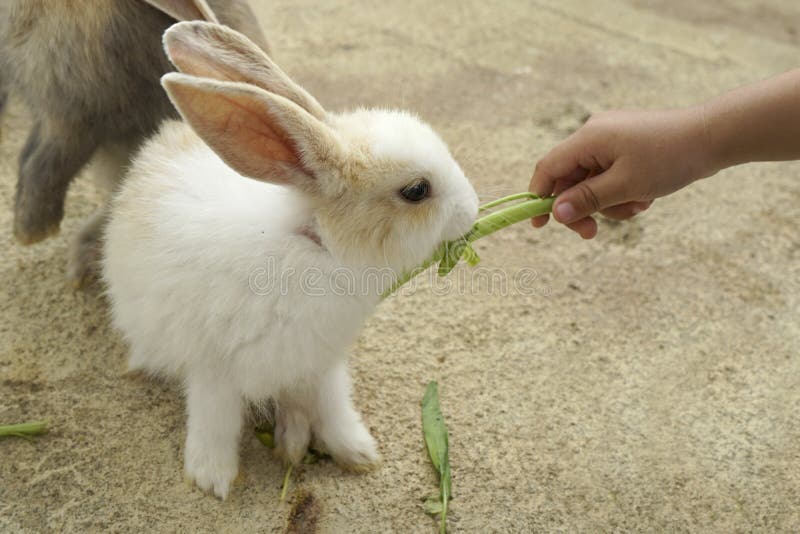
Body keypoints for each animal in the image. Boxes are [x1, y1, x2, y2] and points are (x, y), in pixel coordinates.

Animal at [0, 0, 268, 286]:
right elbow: (32, 155)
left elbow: (54, 159)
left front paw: (31, 231)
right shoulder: (53, 111)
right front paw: (27, 229)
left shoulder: (79, 112)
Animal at [101, 21, 479, 499]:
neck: (315, 246)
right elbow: (214, 422)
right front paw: (213, 479)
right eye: (416, 191)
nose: (473, 209)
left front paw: (357, 452)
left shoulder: (321, 363)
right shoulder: (214, 369)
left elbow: (334, 407)